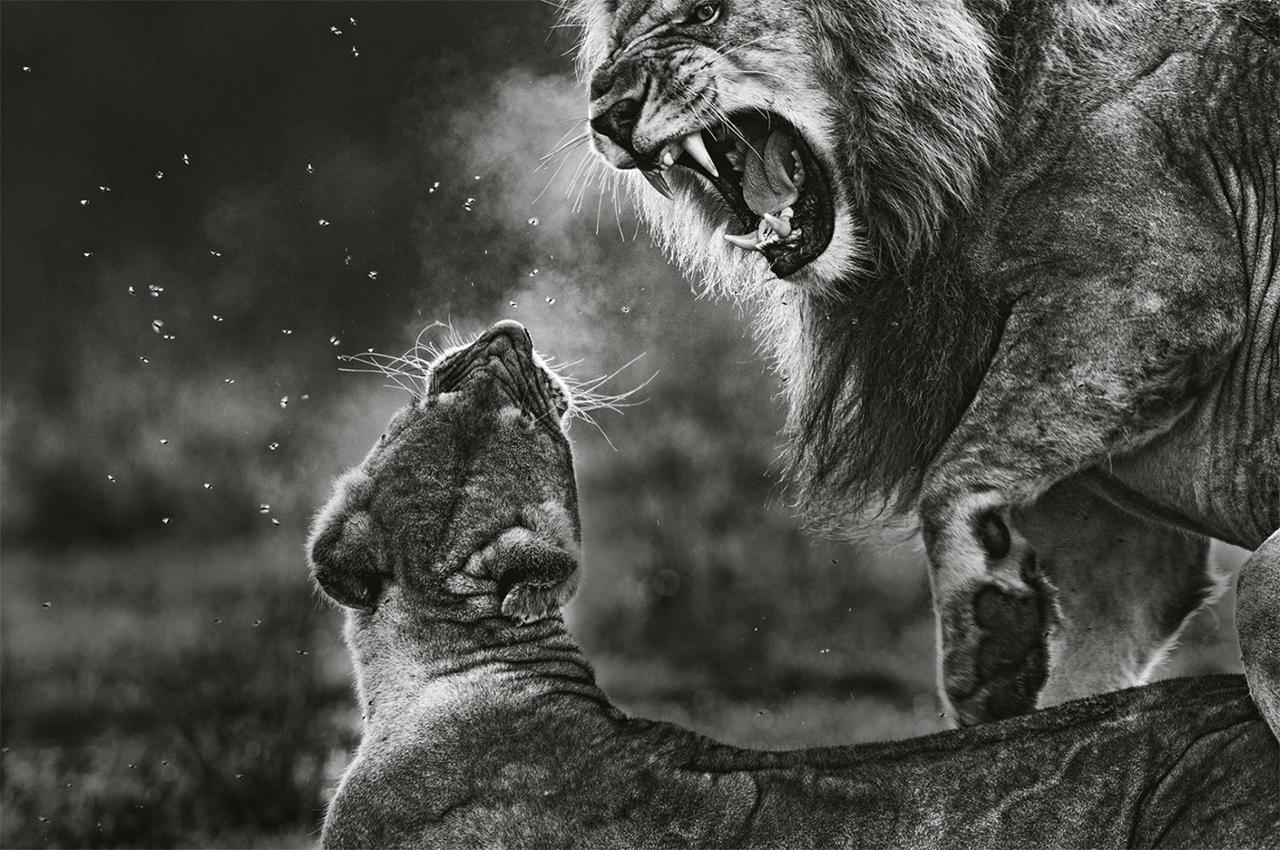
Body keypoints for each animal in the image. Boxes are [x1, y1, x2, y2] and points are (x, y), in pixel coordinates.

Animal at [572, 0, 1280, 726]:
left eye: (706, 13)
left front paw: (986, 638)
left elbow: (955, 470)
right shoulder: (1119, 553)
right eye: (617, 37)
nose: (608, 117)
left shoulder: (1155, 290)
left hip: (1264, 585)